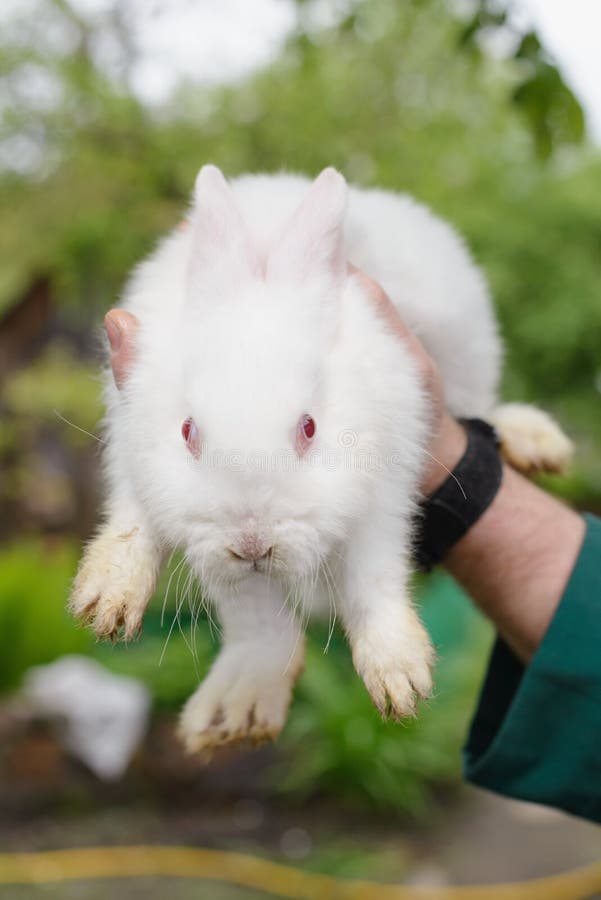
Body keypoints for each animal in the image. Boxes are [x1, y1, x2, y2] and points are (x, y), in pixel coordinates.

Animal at [69, 166, 573, 755]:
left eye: (309, 428)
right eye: (188, 432)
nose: (252, 543)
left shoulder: (387, 479)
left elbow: (374, 573)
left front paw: (397, 670)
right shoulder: (147, 461)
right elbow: (244, 607)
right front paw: (114, 598)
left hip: (468, 348)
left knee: (483, 405)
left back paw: (533, 437)